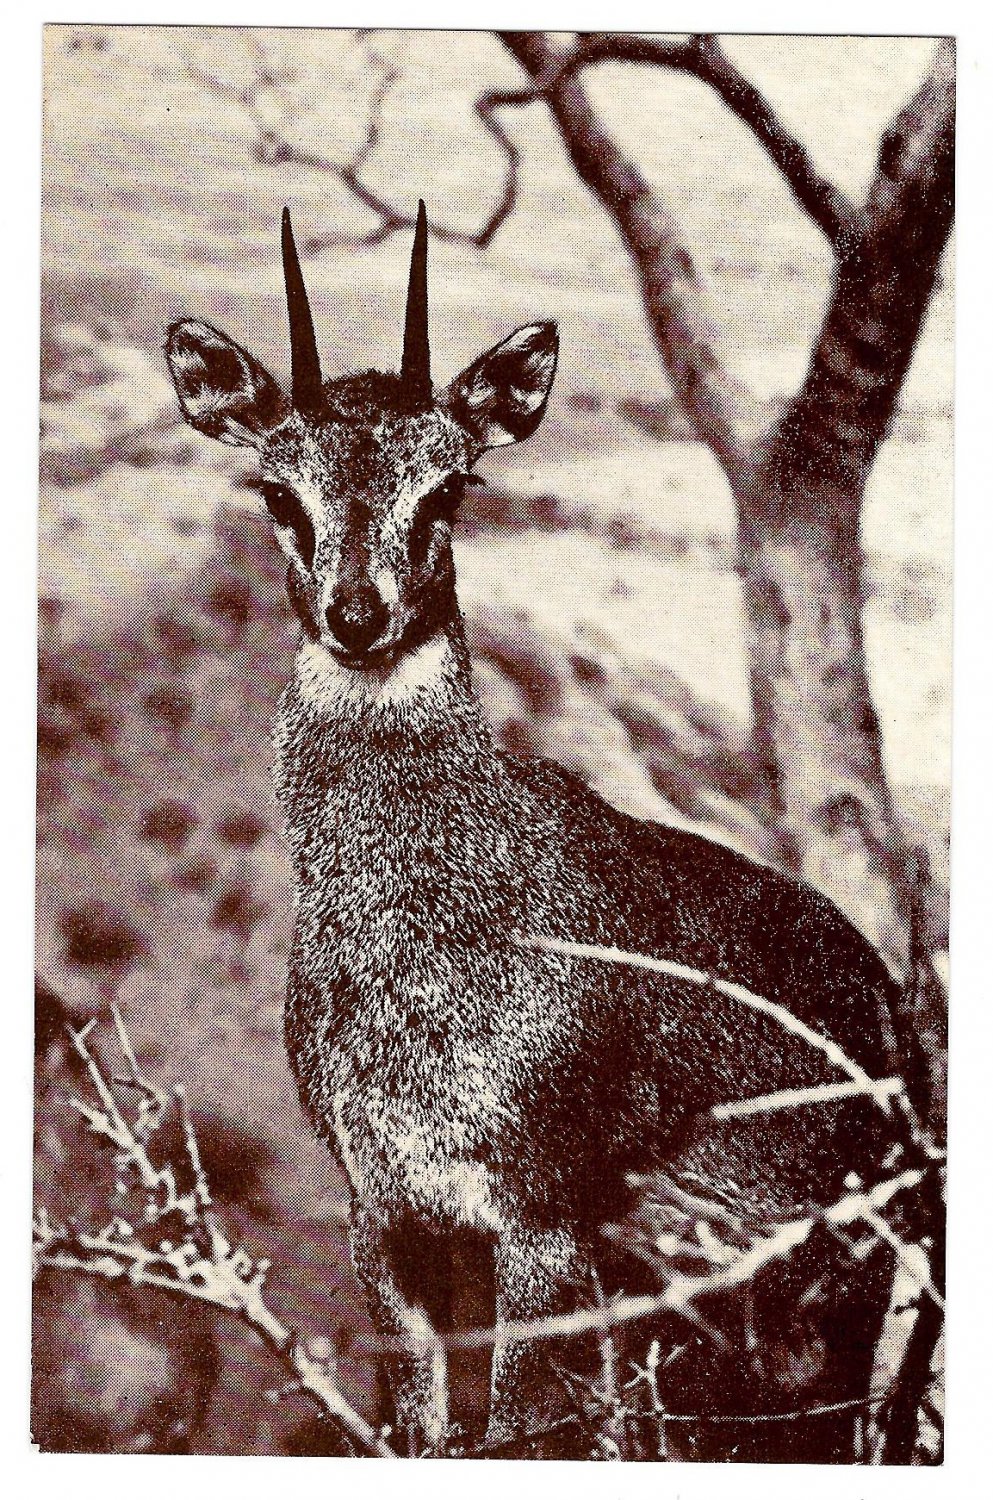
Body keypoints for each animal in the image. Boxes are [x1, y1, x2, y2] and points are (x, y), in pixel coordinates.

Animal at [166, 204, 898, 1459]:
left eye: (449, 487)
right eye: (278, 492)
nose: (358, 616)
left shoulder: (539, 1219)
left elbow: (513, 1423)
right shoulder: (385, 1211)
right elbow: (423, 1426)